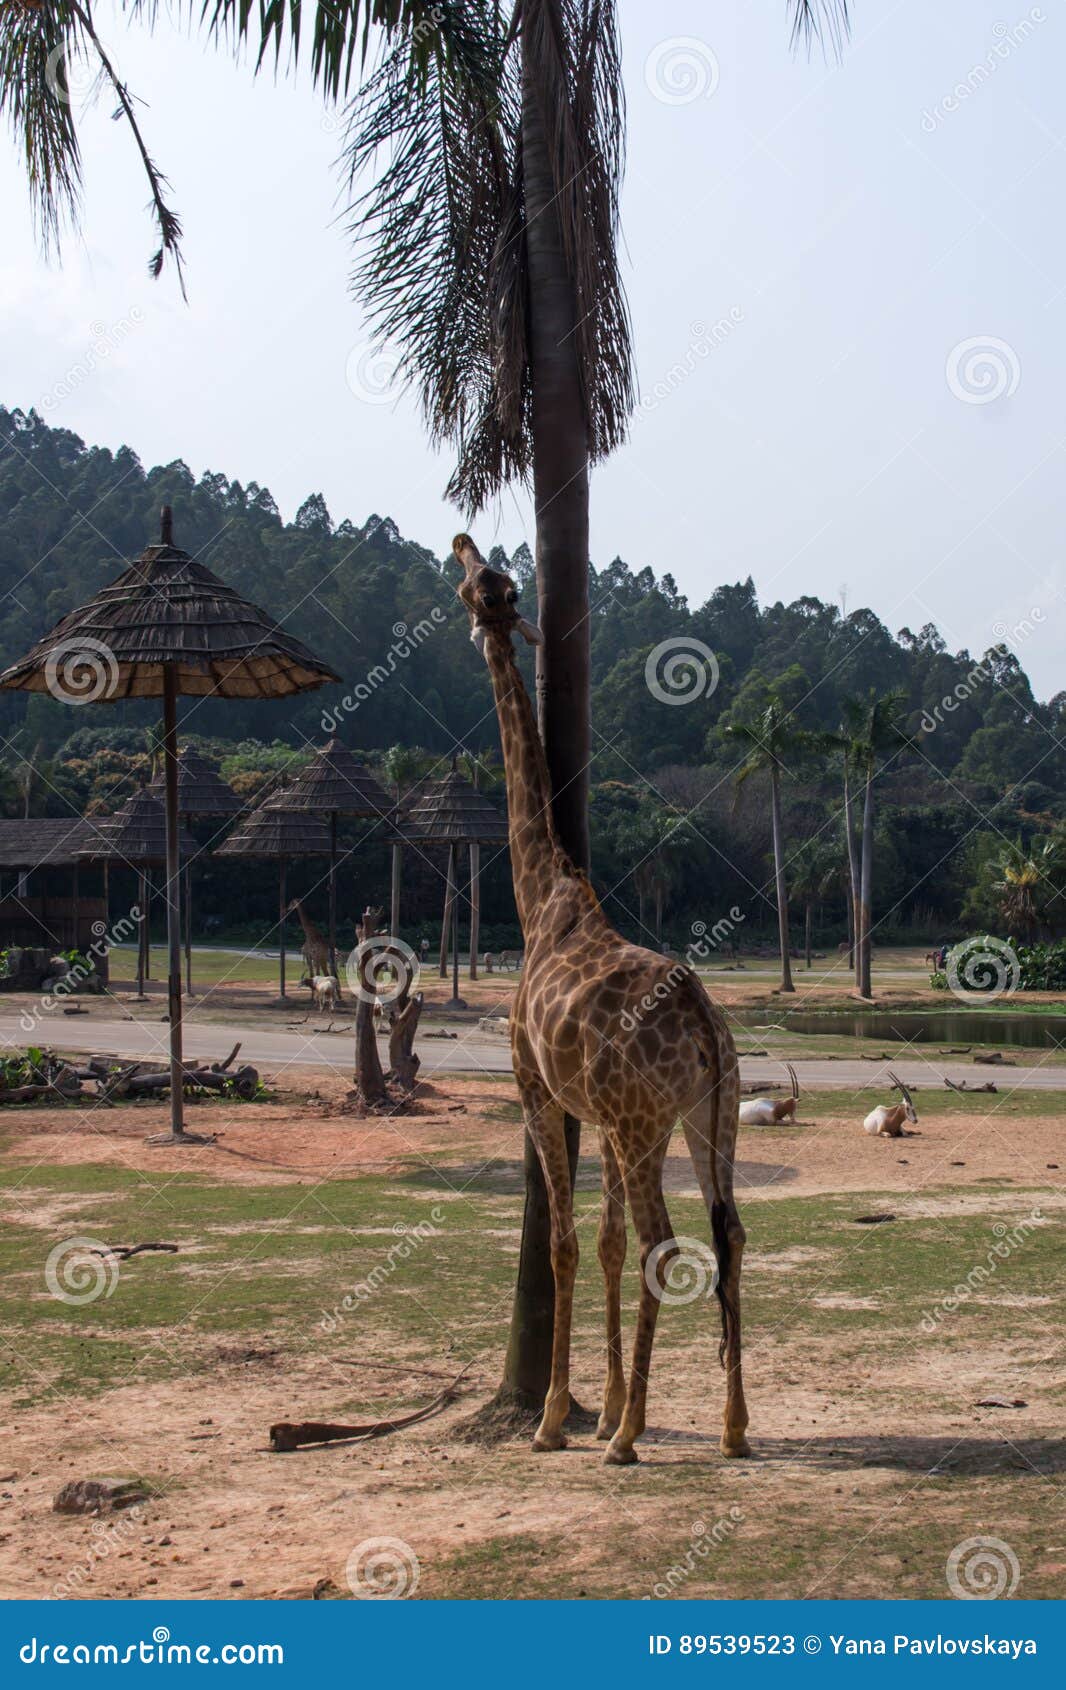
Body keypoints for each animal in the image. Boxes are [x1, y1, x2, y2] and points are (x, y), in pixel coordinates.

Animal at [452, 535, 750, 1465]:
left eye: (480, 585)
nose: (461, 542)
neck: (536, 894)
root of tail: (704, 1023)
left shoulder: (537, 1089)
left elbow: (566, 1243)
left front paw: (556, 1417)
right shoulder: (601, 1111)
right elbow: (610, 1242)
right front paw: (606, 1397)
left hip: (646, 1120)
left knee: (668, 1241)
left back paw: (626, 1438)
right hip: (704, 1111)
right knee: (728, 1231)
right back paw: (732, 1426)